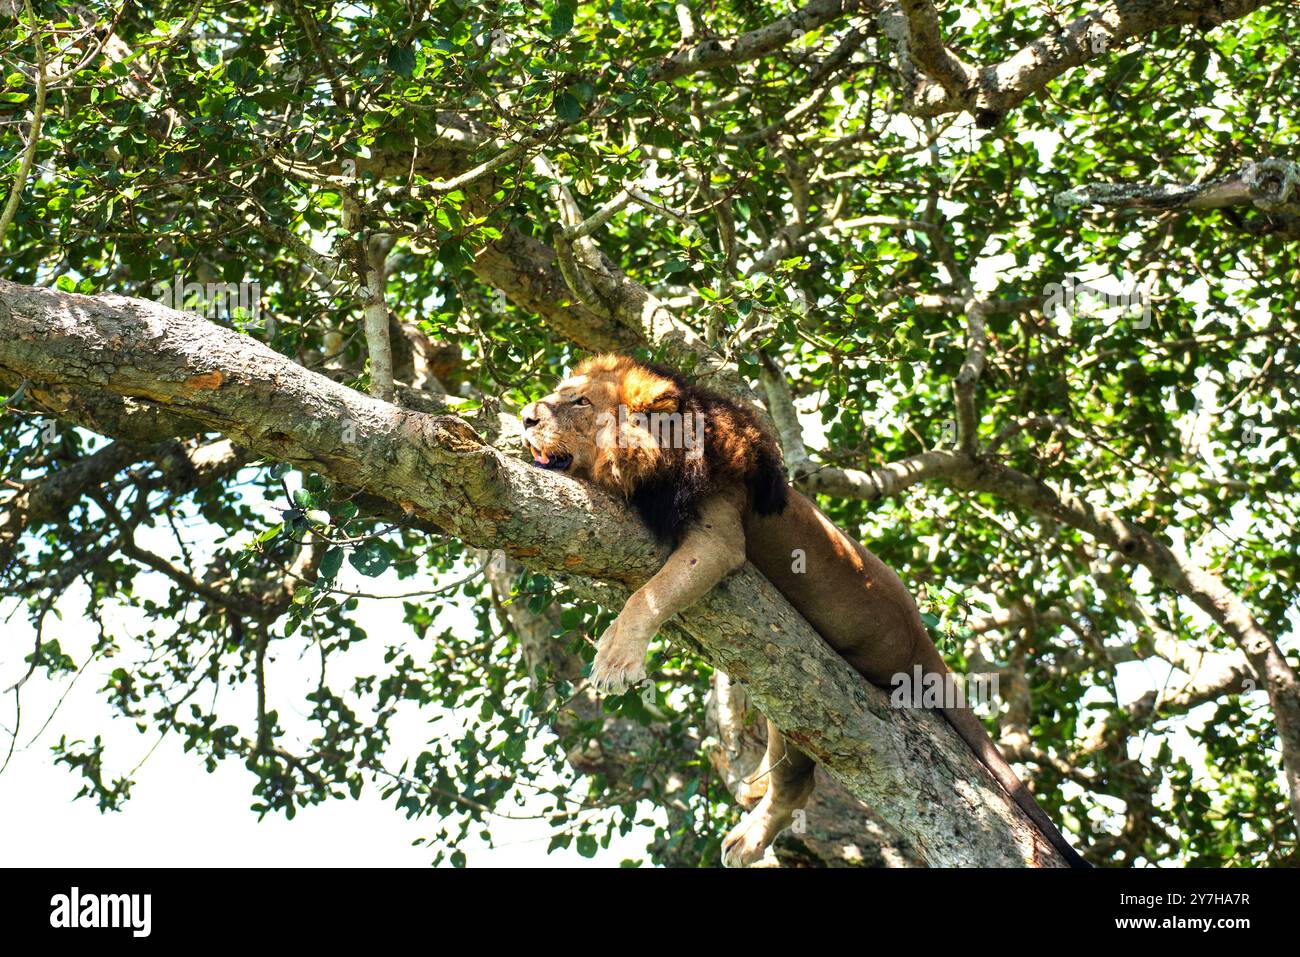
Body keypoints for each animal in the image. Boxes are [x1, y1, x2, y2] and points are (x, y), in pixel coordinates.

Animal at [519, 354, 1087, 868]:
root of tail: (921, 639)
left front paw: (616, 659)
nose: (525, 416)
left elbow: (648, 596)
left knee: (797, 778)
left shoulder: (720, 536)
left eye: (579, 402)